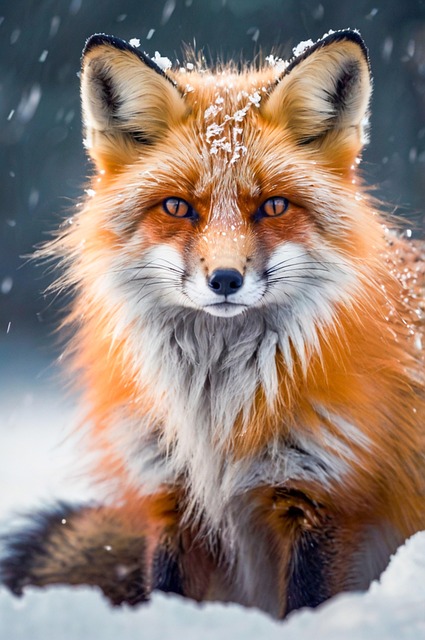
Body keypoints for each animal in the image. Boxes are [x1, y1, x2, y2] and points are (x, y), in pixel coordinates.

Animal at [1, 29, 425, 619]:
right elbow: (167, 593)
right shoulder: (170, 496)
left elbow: (306, 604)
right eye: (178, 207)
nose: (225, 279)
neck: (215, 414)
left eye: (273, 206)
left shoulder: (323, 496)